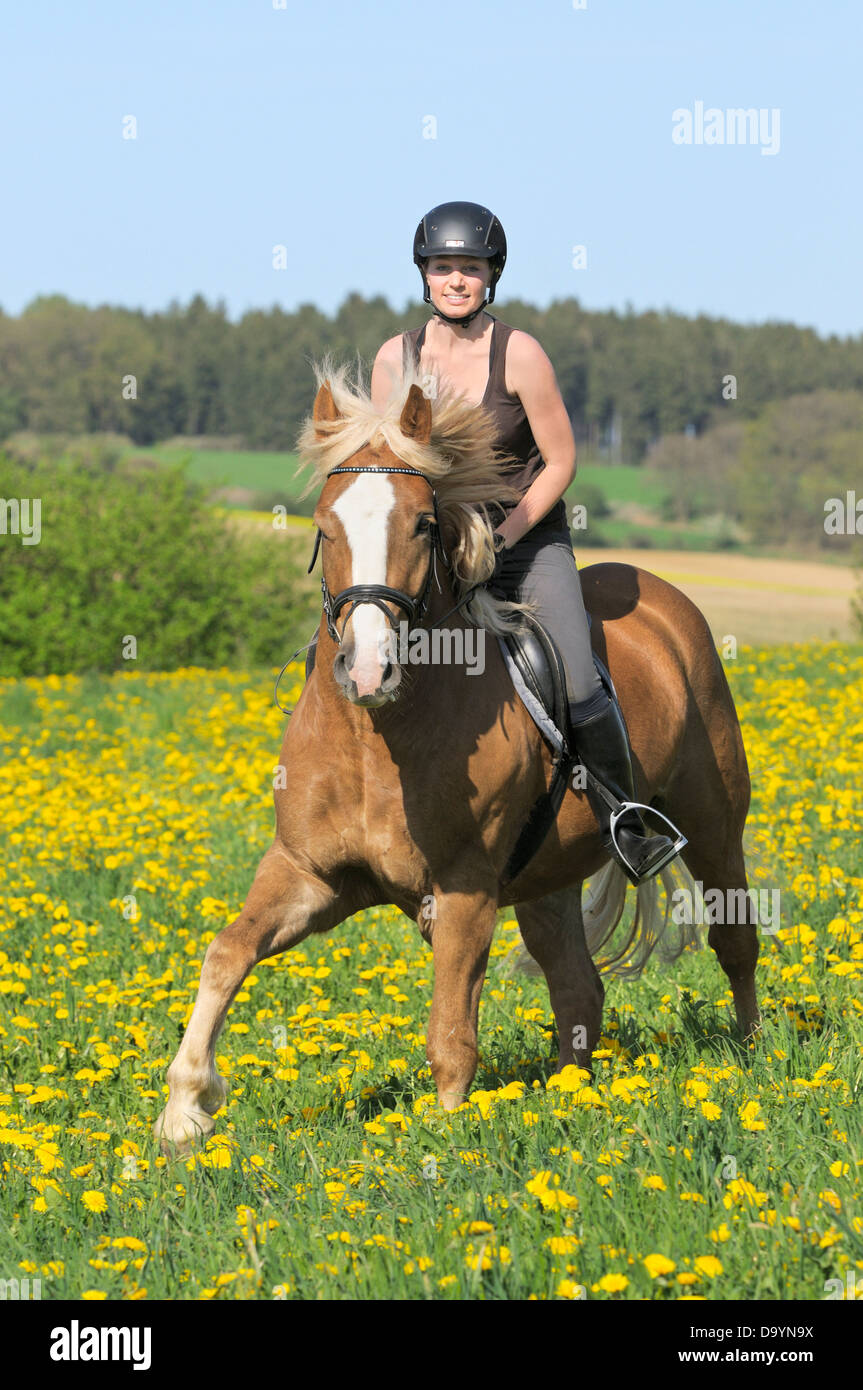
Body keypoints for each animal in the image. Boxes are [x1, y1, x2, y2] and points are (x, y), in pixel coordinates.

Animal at [153, 364, 760, 1150]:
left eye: (422, 523)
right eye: (323, 525)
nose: (368, 671)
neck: (377, 738)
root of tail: (665, 604)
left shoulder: (465, 890)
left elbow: (450, 1033)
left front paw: (446, 1143)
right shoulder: (311, 874)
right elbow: (227, 952)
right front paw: (184, 1109)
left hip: (713, 822)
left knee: (734, 940)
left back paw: (751, 1063)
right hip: (546, 876)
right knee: (577, 985)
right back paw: (569, 1098)